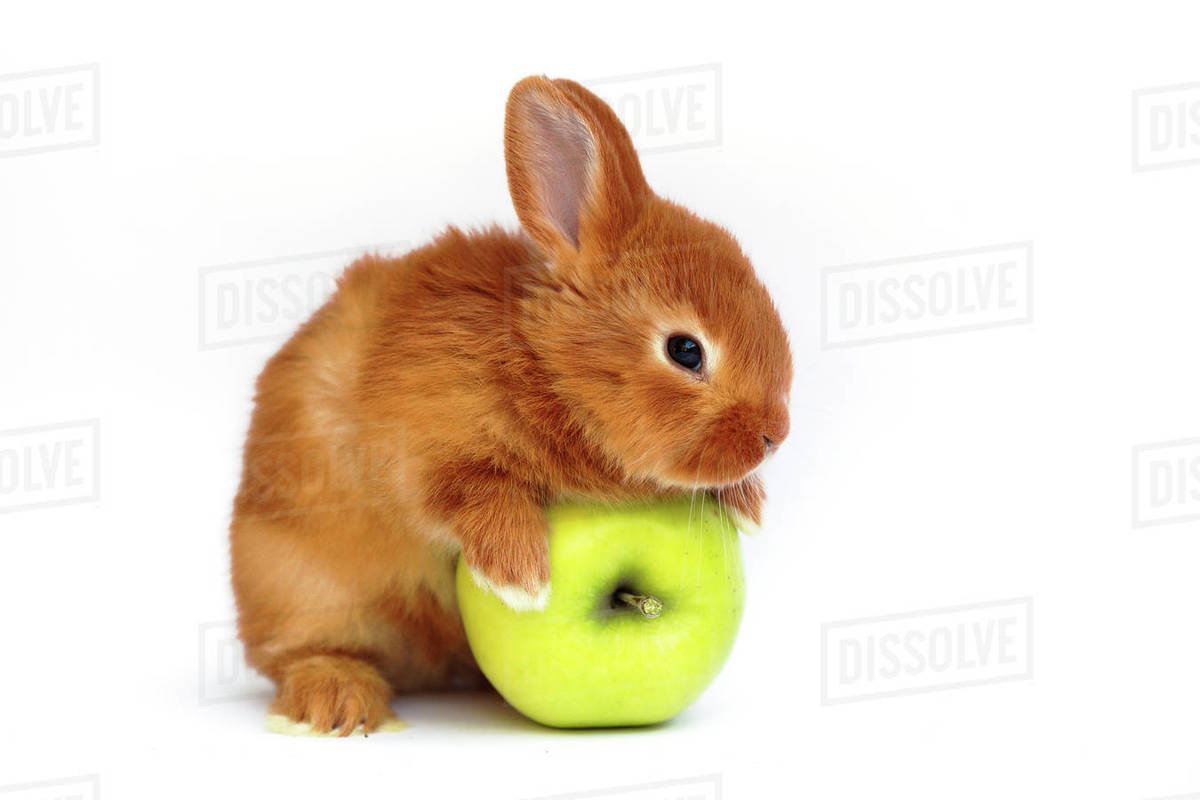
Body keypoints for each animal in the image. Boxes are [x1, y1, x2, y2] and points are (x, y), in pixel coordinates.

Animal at [229, 75, 792, 736]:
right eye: (685, 350)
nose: (774, 434)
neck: (543, 363)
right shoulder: (418, 446)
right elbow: (470, 489)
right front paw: (521, 575)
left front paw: (748, 503)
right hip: (306, 586)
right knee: (306, 651)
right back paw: (336, 701)